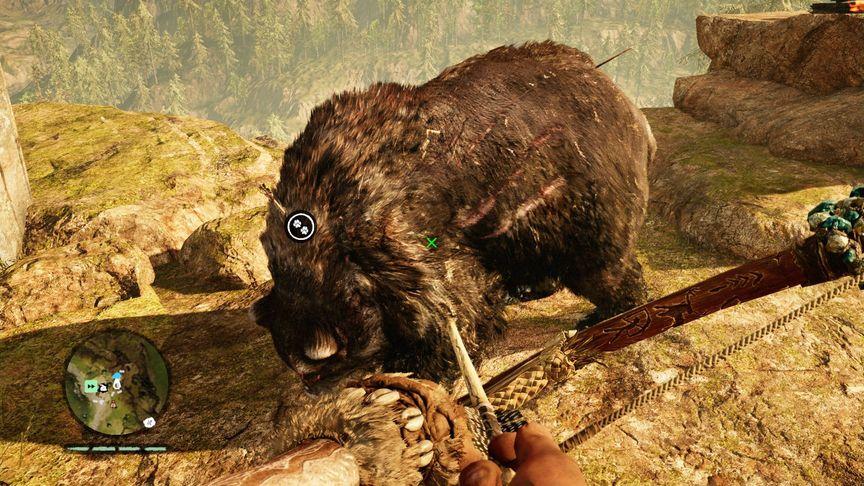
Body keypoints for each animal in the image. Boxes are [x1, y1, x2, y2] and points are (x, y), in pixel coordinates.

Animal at [252, 41, 654, 388]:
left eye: (320, 370)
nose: (309, 388)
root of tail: (630, 109)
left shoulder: (404, 245)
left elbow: (451, 312)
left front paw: (420, 368)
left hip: (584, 207)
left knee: (604, 268)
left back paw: (613, 314)